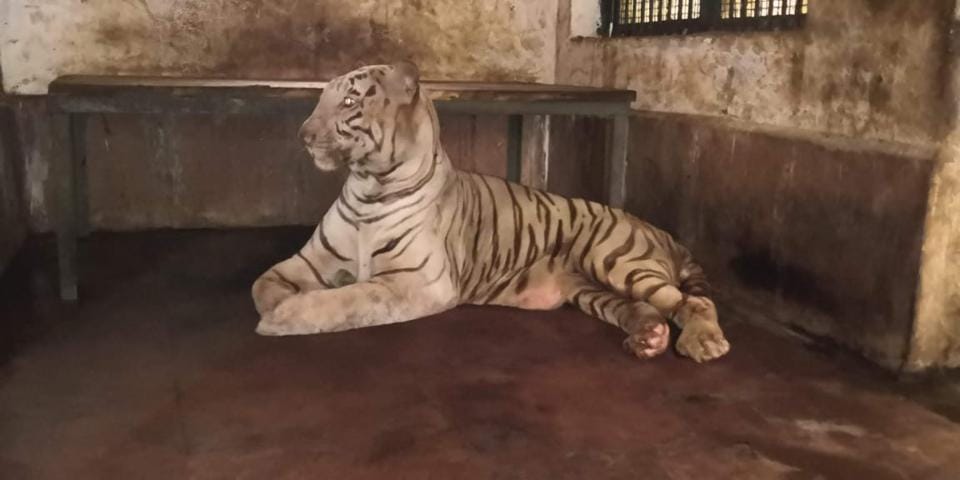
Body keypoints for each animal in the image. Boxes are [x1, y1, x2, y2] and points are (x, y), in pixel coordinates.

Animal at [252, 62, 730, 363]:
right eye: (323, 99)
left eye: (350, 102)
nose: (303, 134)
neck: (368, 185)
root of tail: (656, 228)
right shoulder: (309, 260)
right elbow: (263, 285)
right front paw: (279, 304)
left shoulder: (416, 280)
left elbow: (347, 300)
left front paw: (284, 318)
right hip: (589, 288)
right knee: (645, 308)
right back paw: (649, 338)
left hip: (614, 259)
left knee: (693, 302)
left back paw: (703, 343)